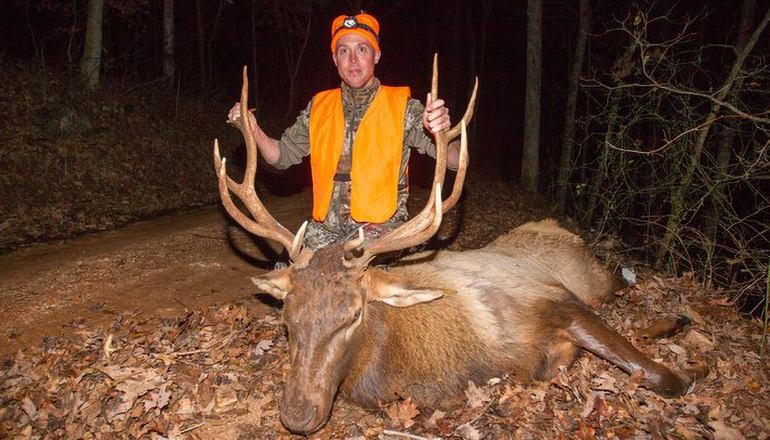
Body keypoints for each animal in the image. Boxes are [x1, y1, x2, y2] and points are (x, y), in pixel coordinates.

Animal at [214, 59, 707, 435]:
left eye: (353, 314)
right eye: (287, 318)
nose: (297, 414)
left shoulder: (553, 298)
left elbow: (664, 378)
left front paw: (695, 373)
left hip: (592, 278)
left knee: (622, 290)